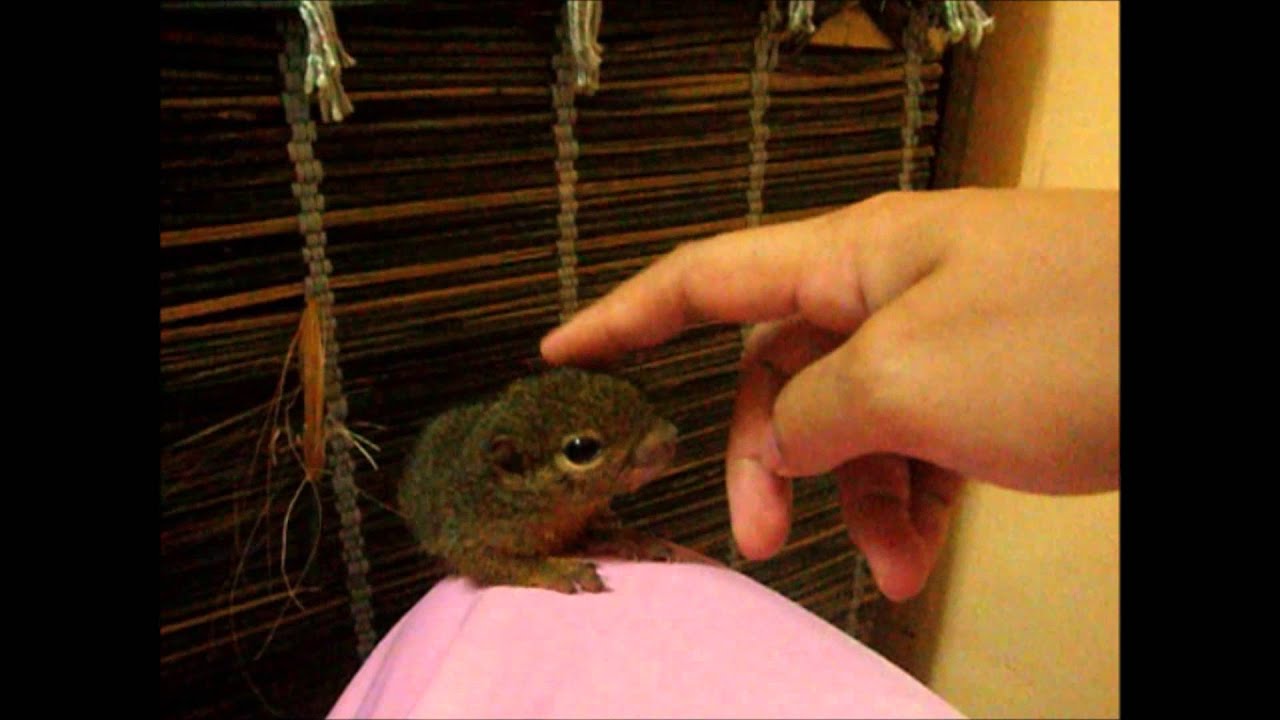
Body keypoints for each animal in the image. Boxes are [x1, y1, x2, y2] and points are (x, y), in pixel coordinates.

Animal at [398, 368, 680, 593]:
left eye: (633, 390)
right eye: (581, 449)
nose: (669, 438)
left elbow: (598, 533)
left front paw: (633, 540)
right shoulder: (468, 539)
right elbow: (504, 565)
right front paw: (560, 570)